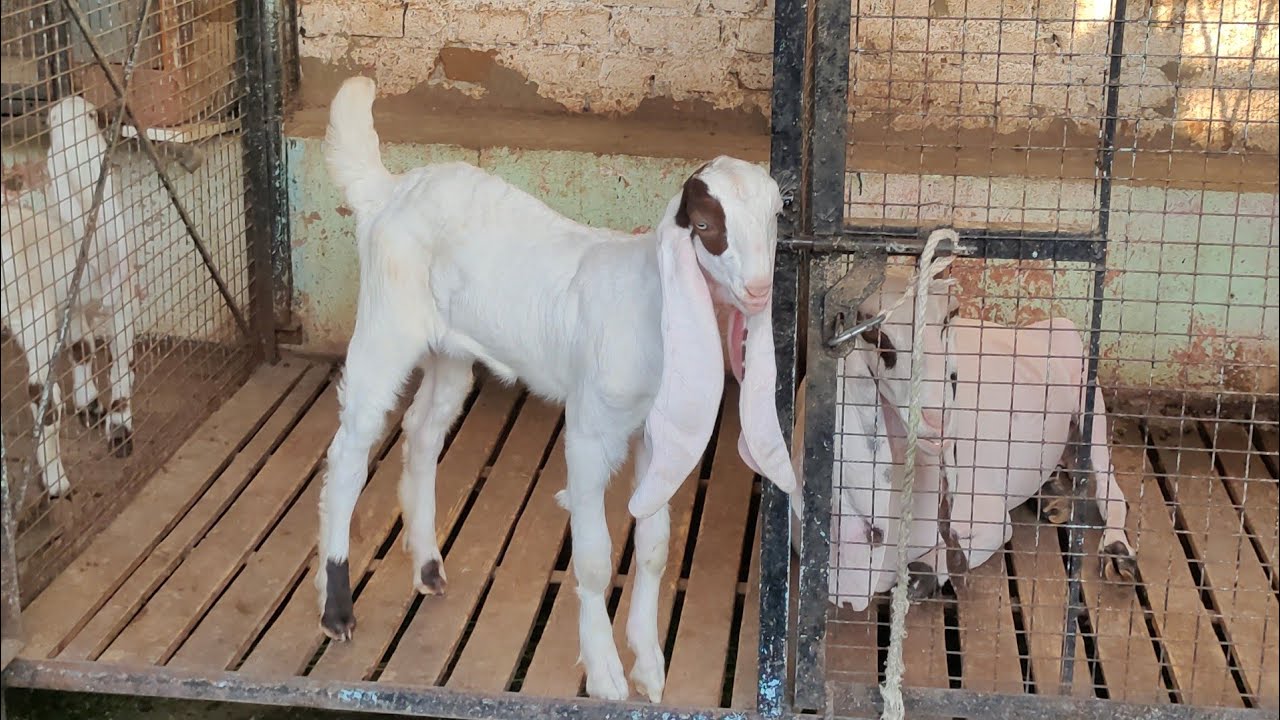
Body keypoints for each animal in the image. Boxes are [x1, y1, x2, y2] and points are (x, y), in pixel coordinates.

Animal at [1, 96, 138, 498]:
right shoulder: (119, 301)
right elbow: (120, 364)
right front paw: (119, 430)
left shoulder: (71, 306)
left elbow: (83, 350)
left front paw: (91, 407)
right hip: (33, 316)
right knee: (42, 397)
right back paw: (57, 483)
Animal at [317, 76, 795, 703]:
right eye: (706, 226)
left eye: (775, 217)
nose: (759, 291)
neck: (648, 301)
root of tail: (390, 190)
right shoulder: (590, 431)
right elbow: (594, 560)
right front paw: (607, 673)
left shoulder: (652, 432)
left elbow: (655, 547)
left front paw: (648, 663)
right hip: (386, 322)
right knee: (350, 447)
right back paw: (337, 609)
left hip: (450, 350)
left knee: (422, 431)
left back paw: (427, 565)